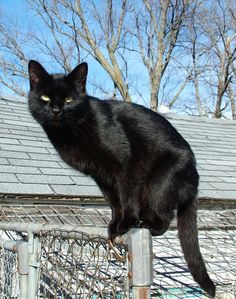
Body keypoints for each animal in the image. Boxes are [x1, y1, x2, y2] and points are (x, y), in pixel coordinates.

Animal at [27, 60, 216, 298]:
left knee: (165, 215)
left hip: (159, 182)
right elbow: (114, 202)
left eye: (69, 100)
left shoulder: (126, 166)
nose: (55, 110)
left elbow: (127, 197)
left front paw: (127, 222)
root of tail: (195, 178)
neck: (70, 133)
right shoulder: (102, 176)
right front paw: (115, 225)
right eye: (45, 98)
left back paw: (147, 224)